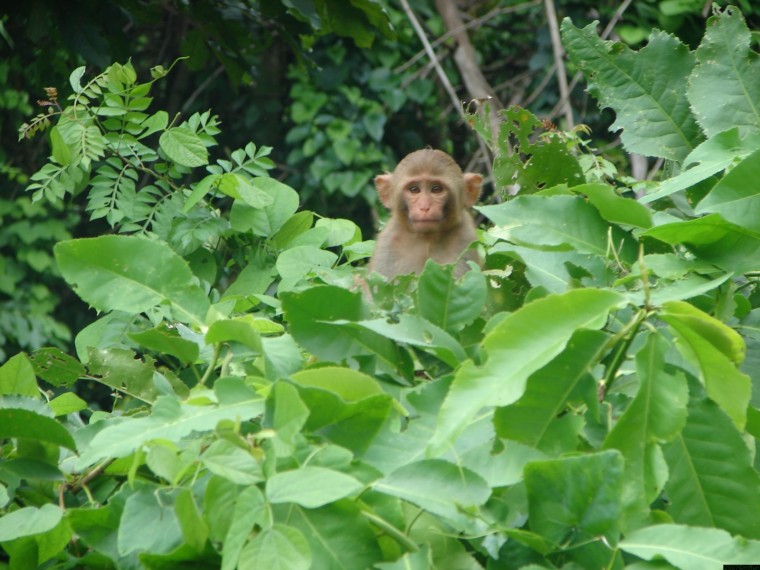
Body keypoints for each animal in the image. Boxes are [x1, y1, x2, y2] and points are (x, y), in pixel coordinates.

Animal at [368, 149, 482, 278]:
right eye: (414, 189)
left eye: (436, 189)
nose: (424, 207)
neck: (427, 239)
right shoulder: (387, 245)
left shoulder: (465, 242)